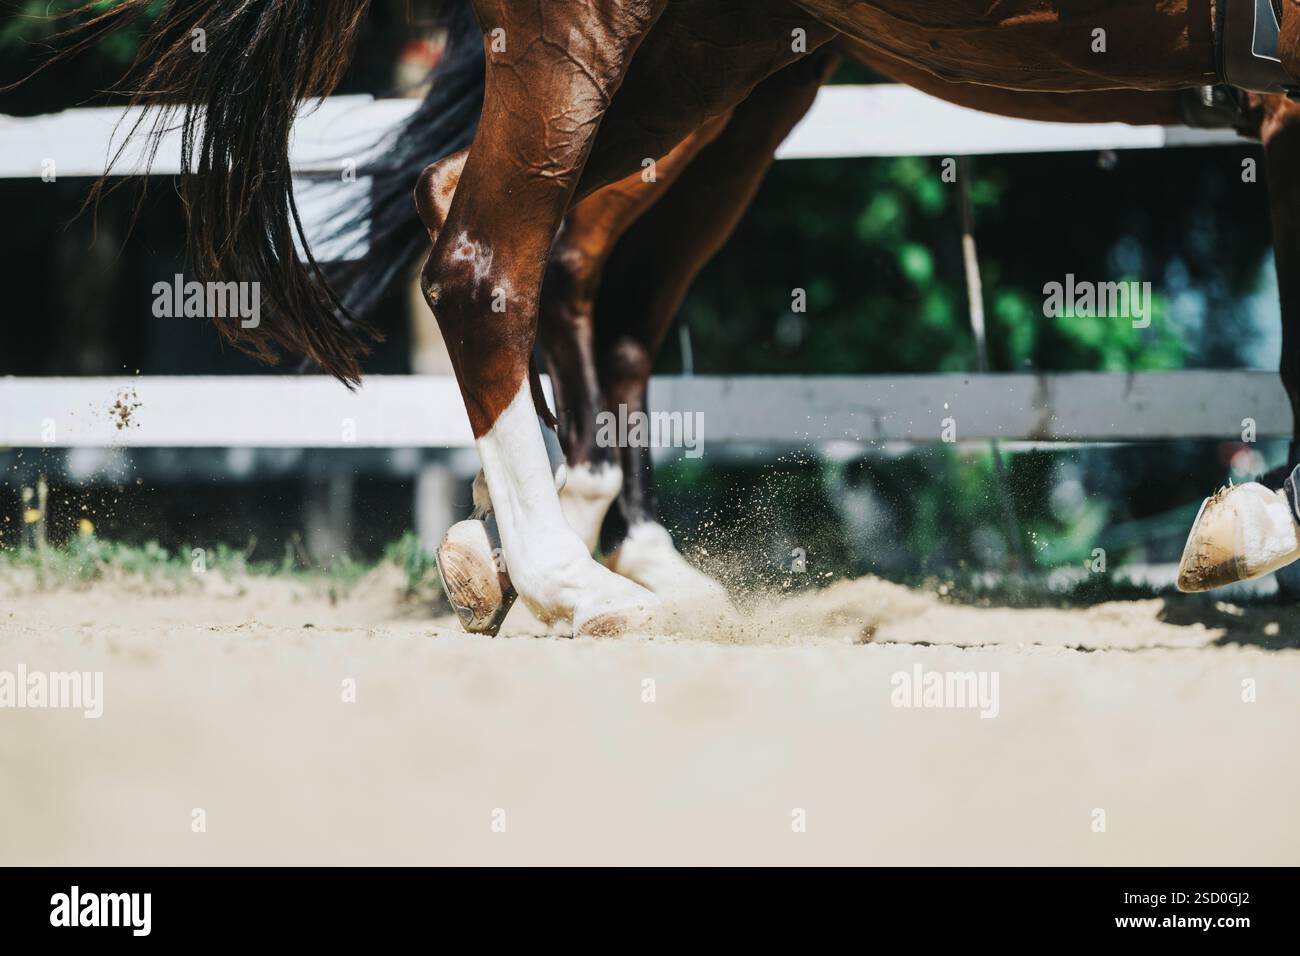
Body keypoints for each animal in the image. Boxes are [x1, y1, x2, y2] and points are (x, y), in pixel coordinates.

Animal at [35, 0, 1300, 634]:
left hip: (713, 70)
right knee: (493, 264)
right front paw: (1260, 521)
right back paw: (570, 578)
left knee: (546, 248)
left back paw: (545, 544)